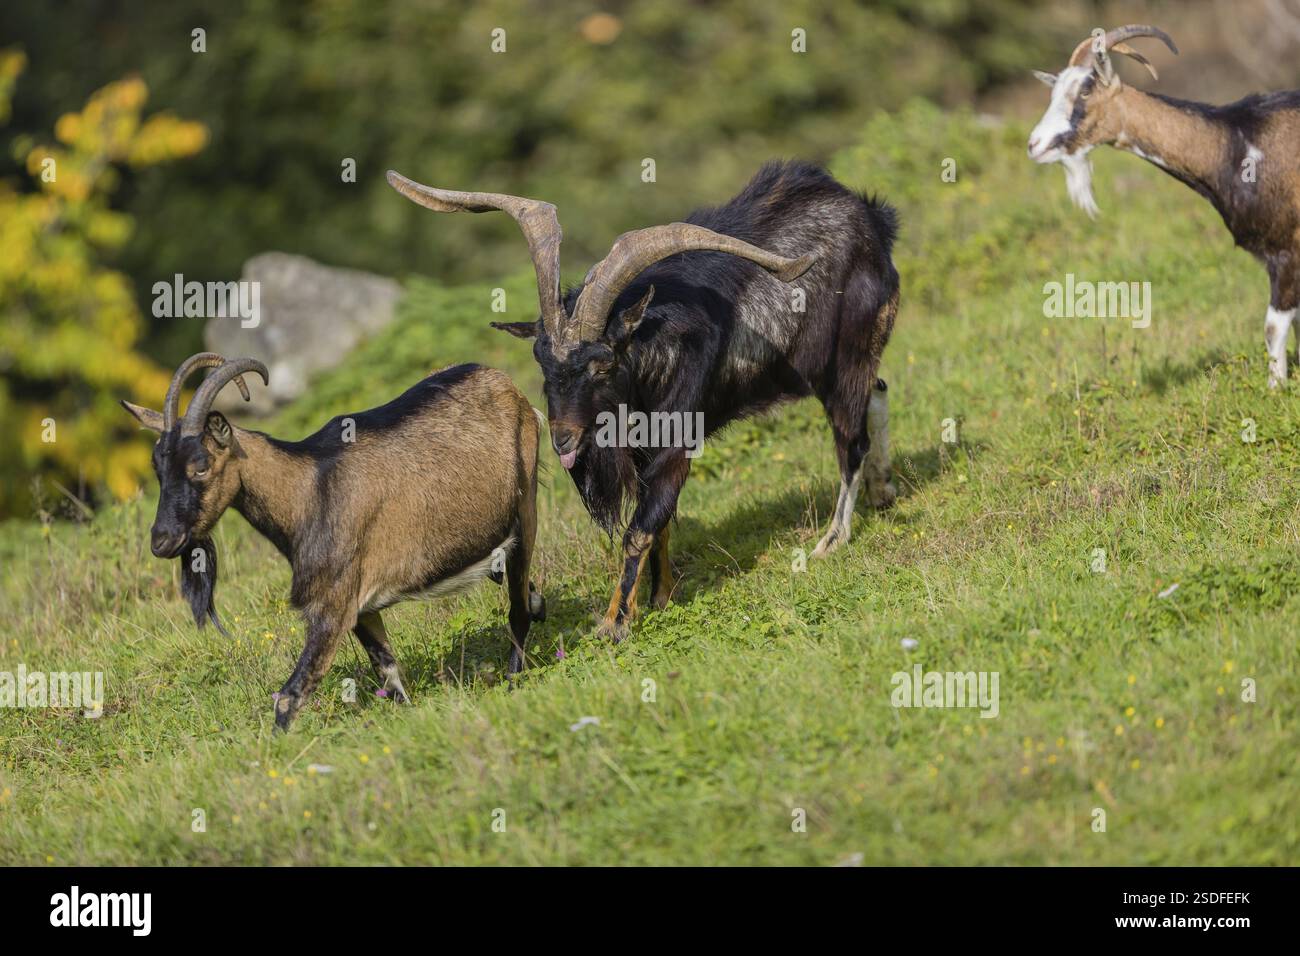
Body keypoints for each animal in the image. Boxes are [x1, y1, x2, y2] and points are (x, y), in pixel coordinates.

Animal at [121, 353, 545, 731]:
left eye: (201, 466)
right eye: (158, 468)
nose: (162, 541)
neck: (309, 490)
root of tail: (503, 382)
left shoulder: (332, 607)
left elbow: (290, 695)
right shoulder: (361, 609)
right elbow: (388, 670)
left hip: (526, 511)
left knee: (518, 610)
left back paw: (514, 679)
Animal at [388, 161, 899, 642]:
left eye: (603, 365)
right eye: (541, 363)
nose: (562, 439)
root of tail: (871, 216)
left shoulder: (676, 440)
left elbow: (641, 527)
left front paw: (614, 623)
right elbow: (661, 520)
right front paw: (661, 596)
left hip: (846, 357)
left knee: (852, 440)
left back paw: (831, 541)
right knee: (879, 394)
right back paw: (884, 494)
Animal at [1029, 24, 1300, 388]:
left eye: (1085, 91)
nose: (1034, 145)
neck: (1233, 143)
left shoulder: (1287, 250)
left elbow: (1274, 327)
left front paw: (1275, 389)